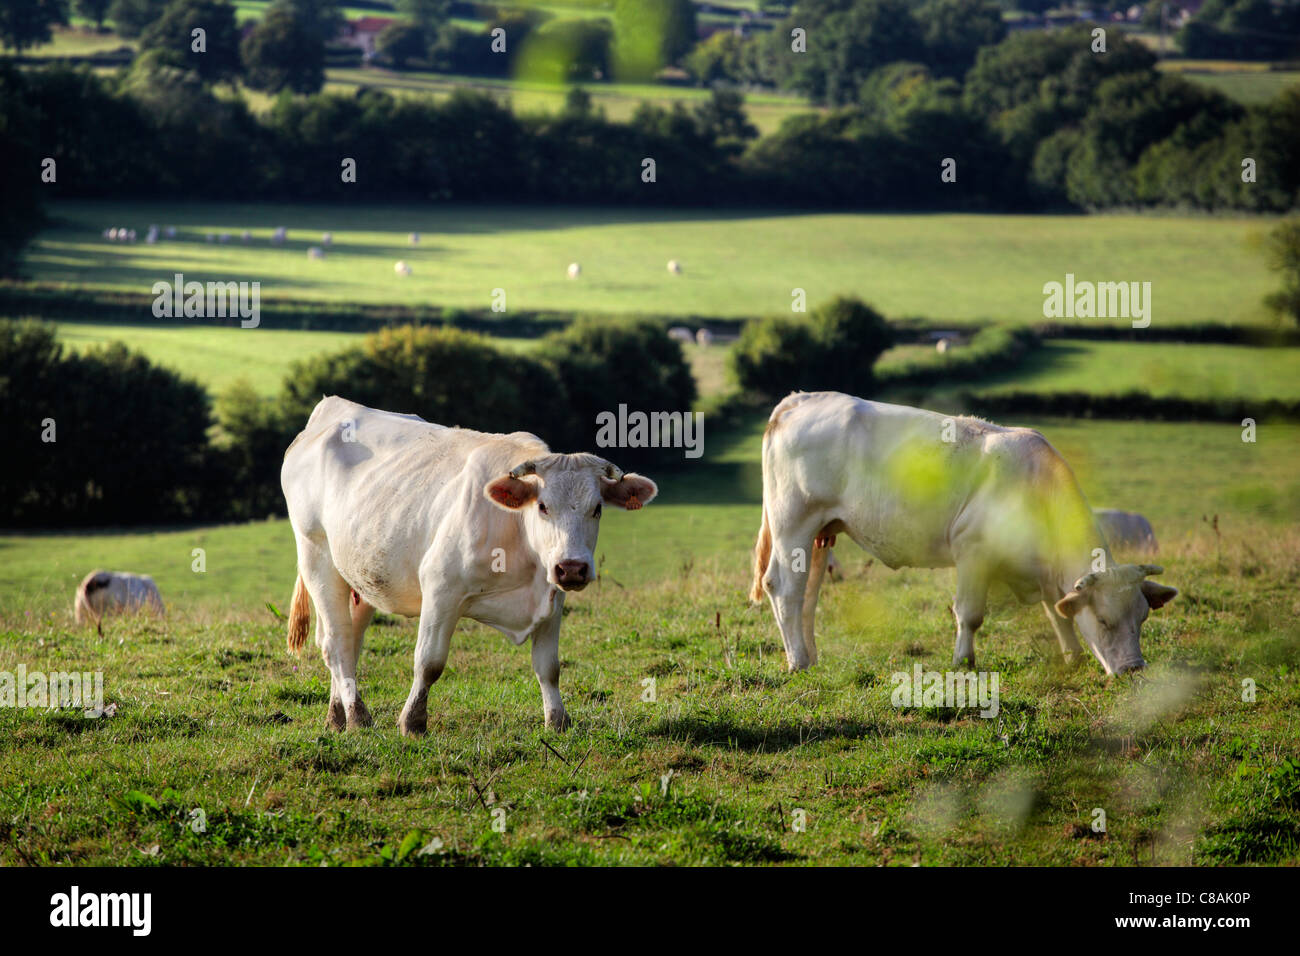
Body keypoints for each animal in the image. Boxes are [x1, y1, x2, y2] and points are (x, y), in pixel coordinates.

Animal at [281, 397, 658, 734]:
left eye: (598, 508)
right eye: (543, 506)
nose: (572, 567)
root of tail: (332, 406)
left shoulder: (553, 597)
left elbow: (548, 667)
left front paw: (557, 721)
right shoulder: (441, 588)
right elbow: (429, 662)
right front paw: (412, 722)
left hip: (361, 574)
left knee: (351, 641)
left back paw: (338, 715)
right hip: (316, 554)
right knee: (336, 642)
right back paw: (357, 716)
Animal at [750, 392, 1177, 676]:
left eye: (1142, 618)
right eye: (1104, 620)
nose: (1135, 668)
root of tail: (799, 400)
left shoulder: (1044, 571)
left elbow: (1058, 613)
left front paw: (1071, 656)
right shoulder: (974, 552)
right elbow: (970, 614)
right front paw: (963, 661)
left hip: (821, 533)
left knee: (808, 594)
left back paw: (809, 656)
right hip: (793, 523)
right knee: (784, 588)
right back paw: (798, 662)